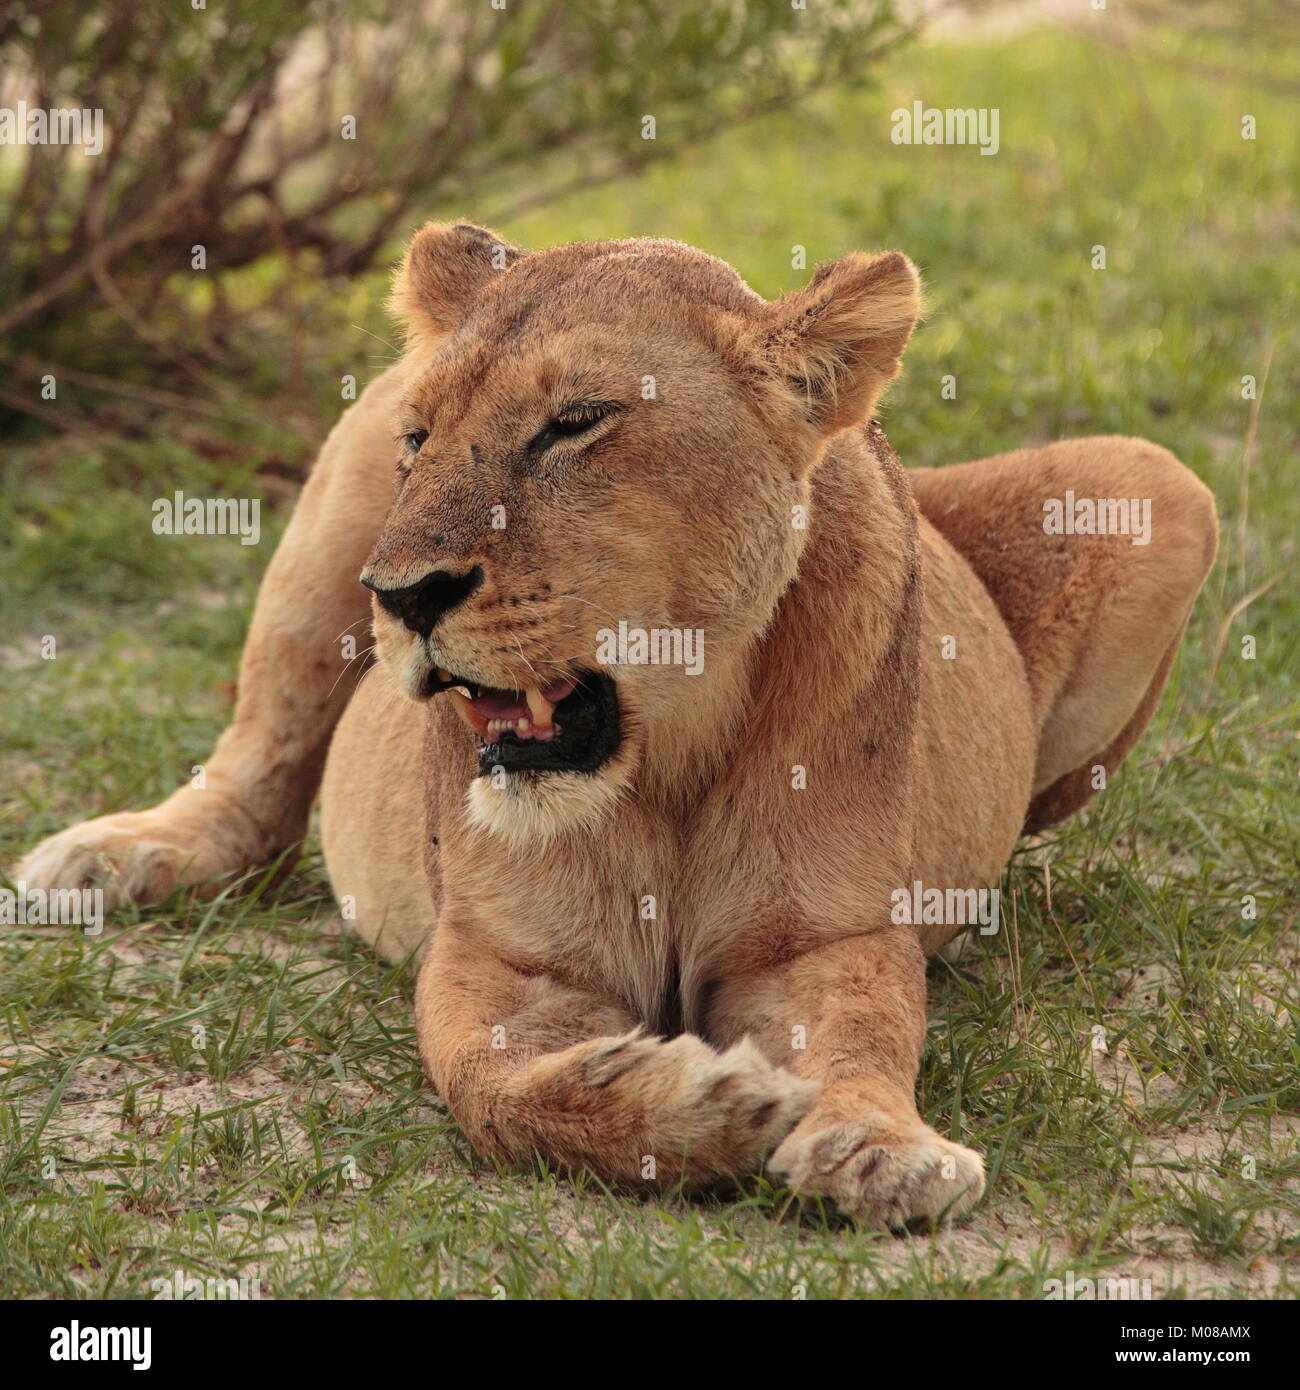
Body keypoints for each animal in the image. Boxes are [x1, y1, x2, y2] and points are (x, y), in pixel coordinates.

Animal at [17, 223, 1217, 1228]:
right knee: (258, 783)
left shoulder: (819, 940)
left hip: (1158, 484)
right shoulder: (499, 955)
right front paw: (704, 1107)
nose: (401, 595)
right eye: (422, 438)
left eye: (574, 424)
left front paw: (877, 1146)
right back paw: (104, 861)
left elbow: (866, 1027)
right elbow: (498, 1090)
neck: (668, 750)